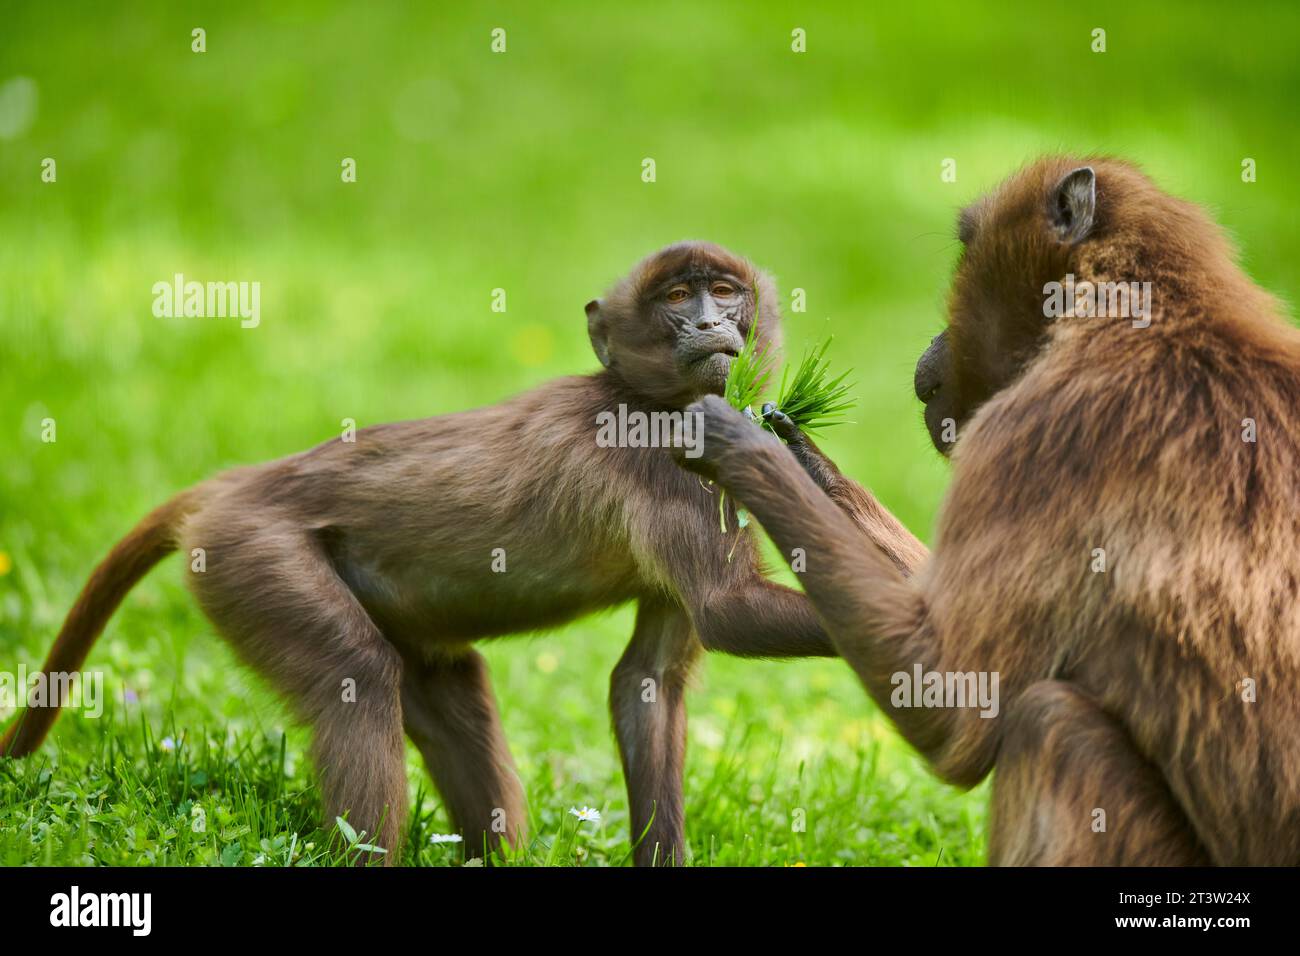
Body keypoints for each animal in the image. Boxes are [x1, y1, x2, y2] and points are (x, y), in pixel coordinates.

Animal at [0, 241, 843, 867]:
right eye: (676, 298)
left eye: (724, 292)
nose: (708, 324)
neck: (638, 398)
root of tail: (237, 484)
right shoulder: (669, 468)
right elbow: (729, 613)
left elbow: (649, 679)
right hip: (254, 550)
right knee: (355, 676)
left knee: (450, 685)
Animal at [679, 157, 1300, 865]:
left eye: (965, 244)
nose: (934, 343)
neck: (1149, 312)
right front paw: (799, 448)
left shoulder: (1038, 428)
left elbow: (953, 705)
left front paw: (736, 440)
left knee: (1051, 724)